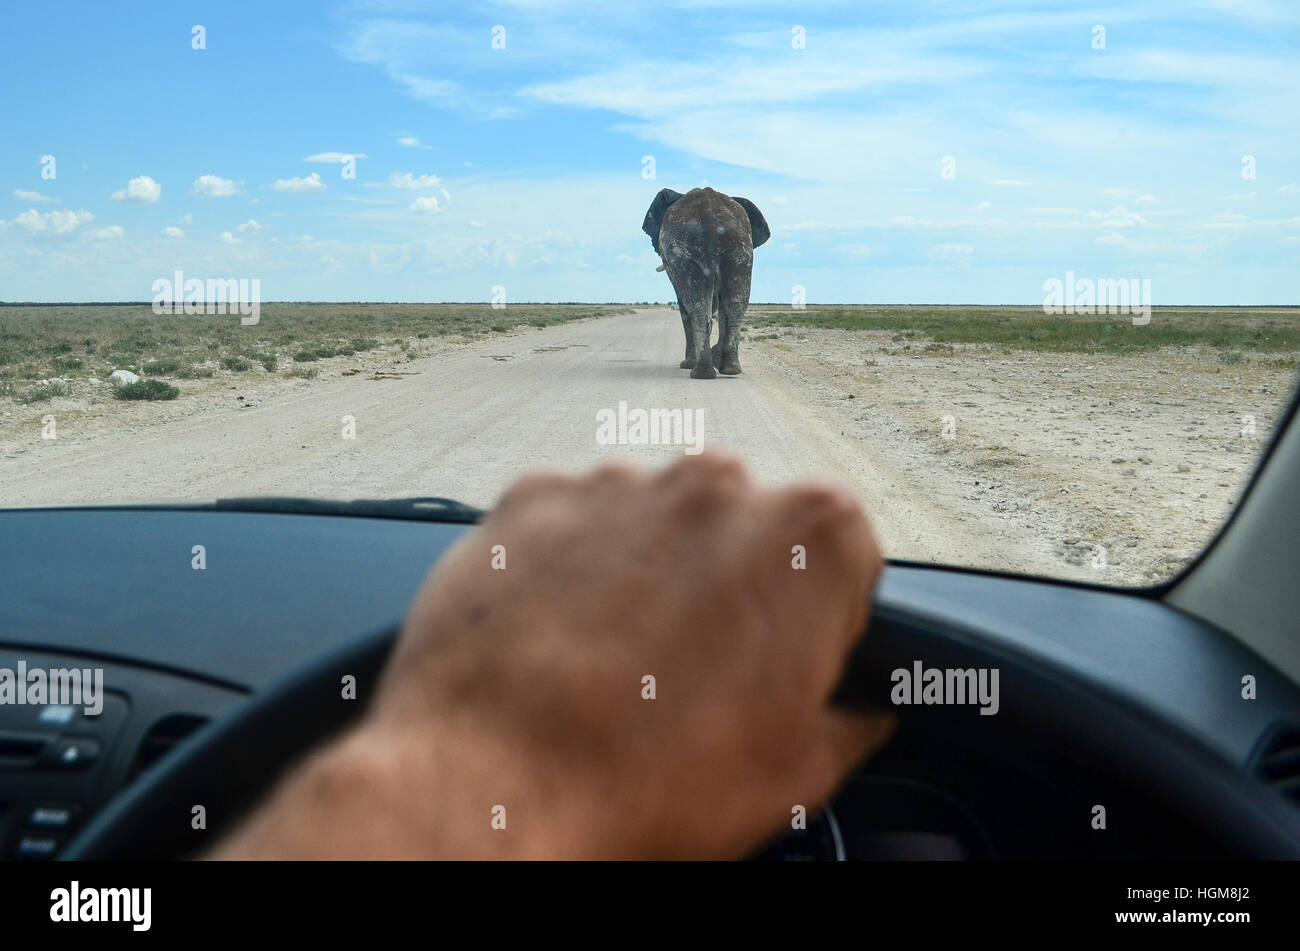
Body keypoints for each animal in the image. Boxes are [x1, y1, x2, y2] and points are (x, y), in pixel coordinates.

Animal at [642, 187, 770, 379]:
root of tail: (709, 215)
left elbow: (684, 304)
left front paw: (686, 364)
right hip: (740, 249)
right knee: (735, 304)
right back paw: (730, 369)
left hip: (684, 253)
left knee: (696, 307)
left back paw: (699, 371)